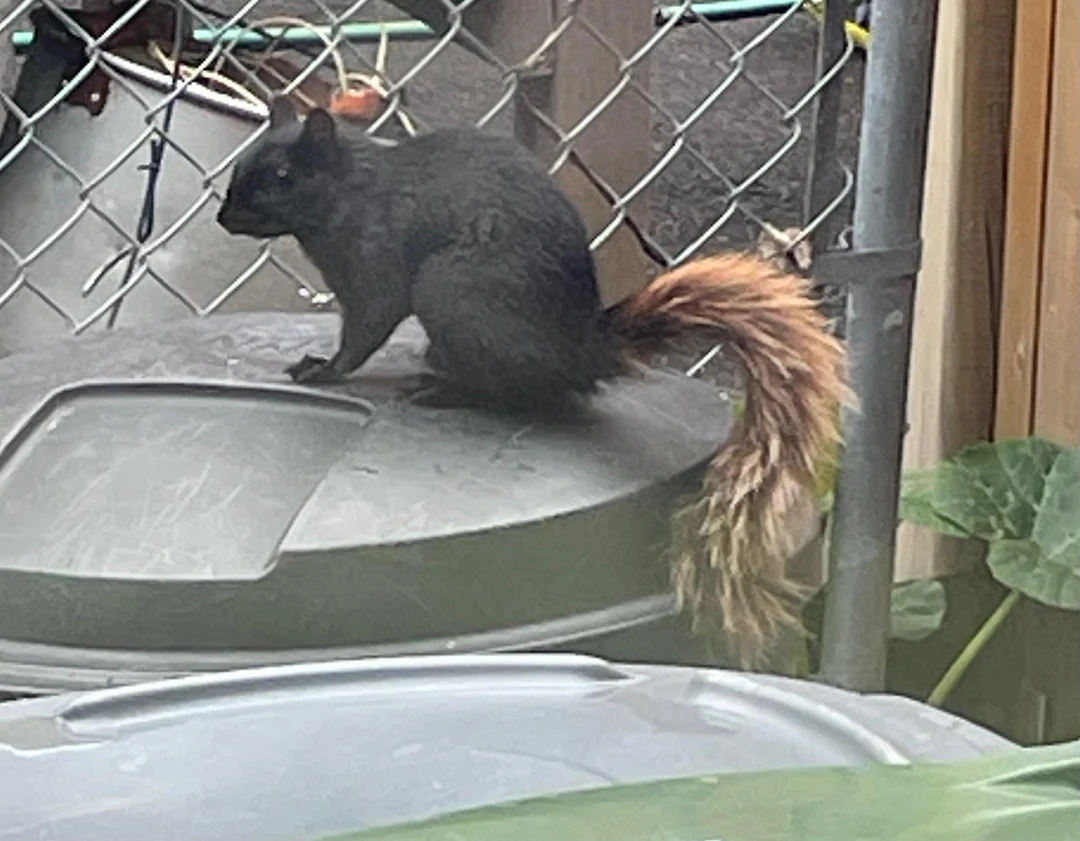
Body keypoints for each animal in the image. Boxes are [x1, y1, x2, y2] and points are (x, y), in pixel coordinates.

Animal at [217, 96, 850, 668]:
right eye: (243, 162)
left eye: (282, 176)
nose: (224, 217)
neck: (349, 193)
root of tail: (579, 351)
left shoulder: (376, 260)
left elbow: (367, 324)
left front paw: (324, 368)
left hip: (452, 289)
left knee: (520, 393)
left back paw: (446, 390)